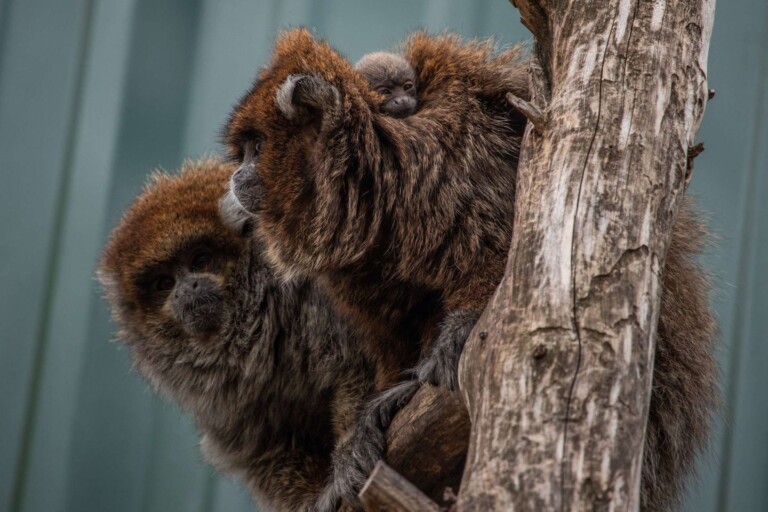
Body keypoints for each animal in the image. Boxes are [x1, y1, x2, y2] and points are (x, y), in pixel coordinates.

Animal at [98, 157, 390, 512]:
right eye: (163, 283)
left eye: (200, 260)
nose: (187, 288)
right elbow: (263, 447)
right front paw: (310, 498)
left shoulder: (317, 300)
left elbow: (356, 366)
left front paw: (349, 453)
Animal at [224, 29, 718, 511]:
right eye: (244, 152)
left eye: (256, 149)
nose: (236, 177)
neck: (382, 173)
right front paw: (355, 440)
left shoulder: (457, 160)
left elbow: (514, 249)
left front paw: (458, 331)